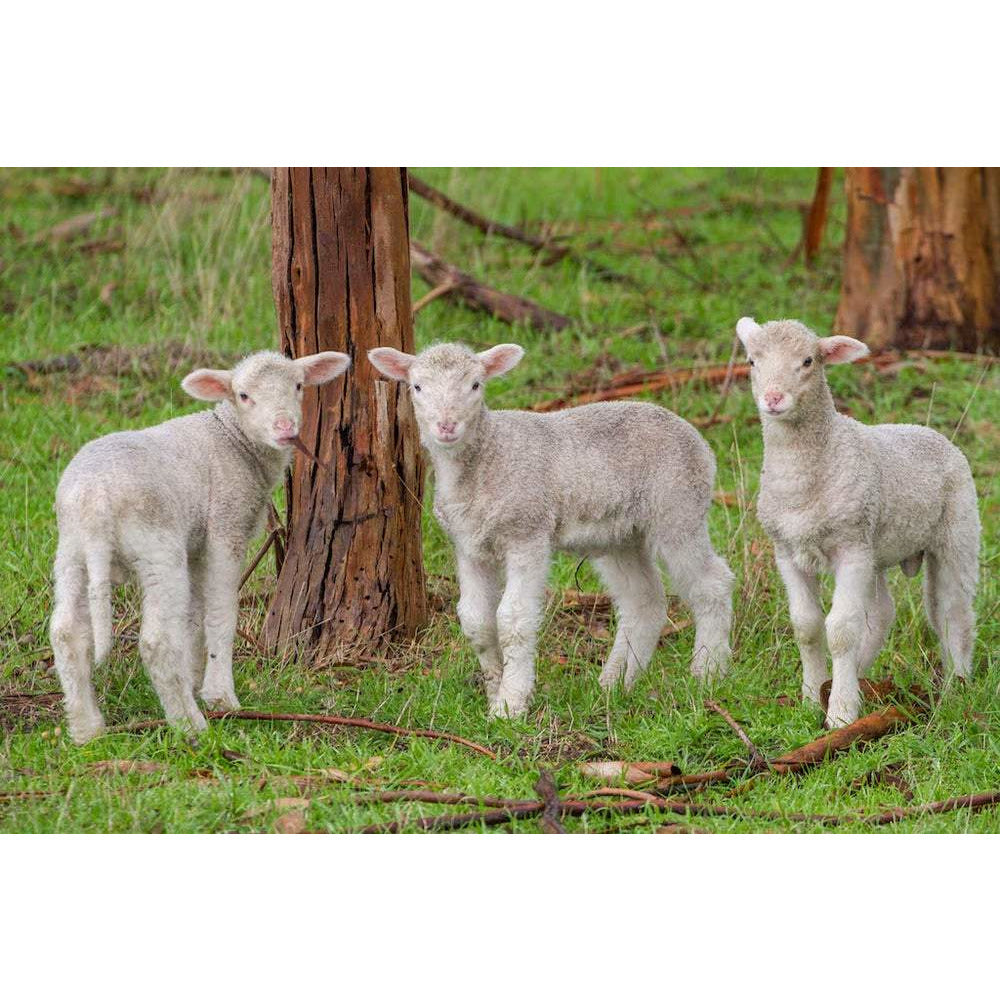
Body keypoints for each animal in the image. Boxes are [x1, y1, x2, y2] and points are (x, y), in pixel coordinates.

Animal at [49, 348, 350, 744]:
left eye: (299, 386)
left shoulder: (196, 542)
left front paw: (193, 678)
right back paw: (190, 724)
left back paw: (87, 729)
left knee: (66, 632)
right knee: (157, 641)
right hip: (157, 546)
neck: (232, 438)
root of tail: (96, 498)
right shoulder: (226, 525)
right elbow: (220, 612)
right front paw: (219, 694)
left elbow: (193, 616)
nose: (285, 428)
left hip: (72, 549)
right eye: (243, 395)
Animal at [368, 341, 734, 718]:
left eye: (475, 385)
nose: (446, 426)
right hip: (621, 533)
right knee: (643, 601)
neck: (487, 457)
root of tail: (697, 438)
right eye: (417, 387)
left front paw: (511, 704)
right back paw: (615, 683)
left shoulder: (527, 533)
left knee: (711, 583)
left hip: (678, 507)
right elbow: (476, 621)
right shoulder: (468, 546)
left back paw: (707, 671)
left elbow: (513, 619)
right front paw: (494, 690)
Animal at [736, 317, 980, 727]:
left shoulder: (850, 548)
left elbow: (841, 631)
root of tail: (925, 429)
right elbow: (807, 626)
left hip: (957, 529)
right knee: (882, 613)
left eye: (808, 361)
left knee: (953, 611)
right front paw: (811, 696)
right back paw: (855, 674)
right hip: (875, 552)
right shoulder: (787, 550)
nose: (773, 399)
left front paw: (840, 714)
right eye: (753, 361)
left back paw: (954, 689)